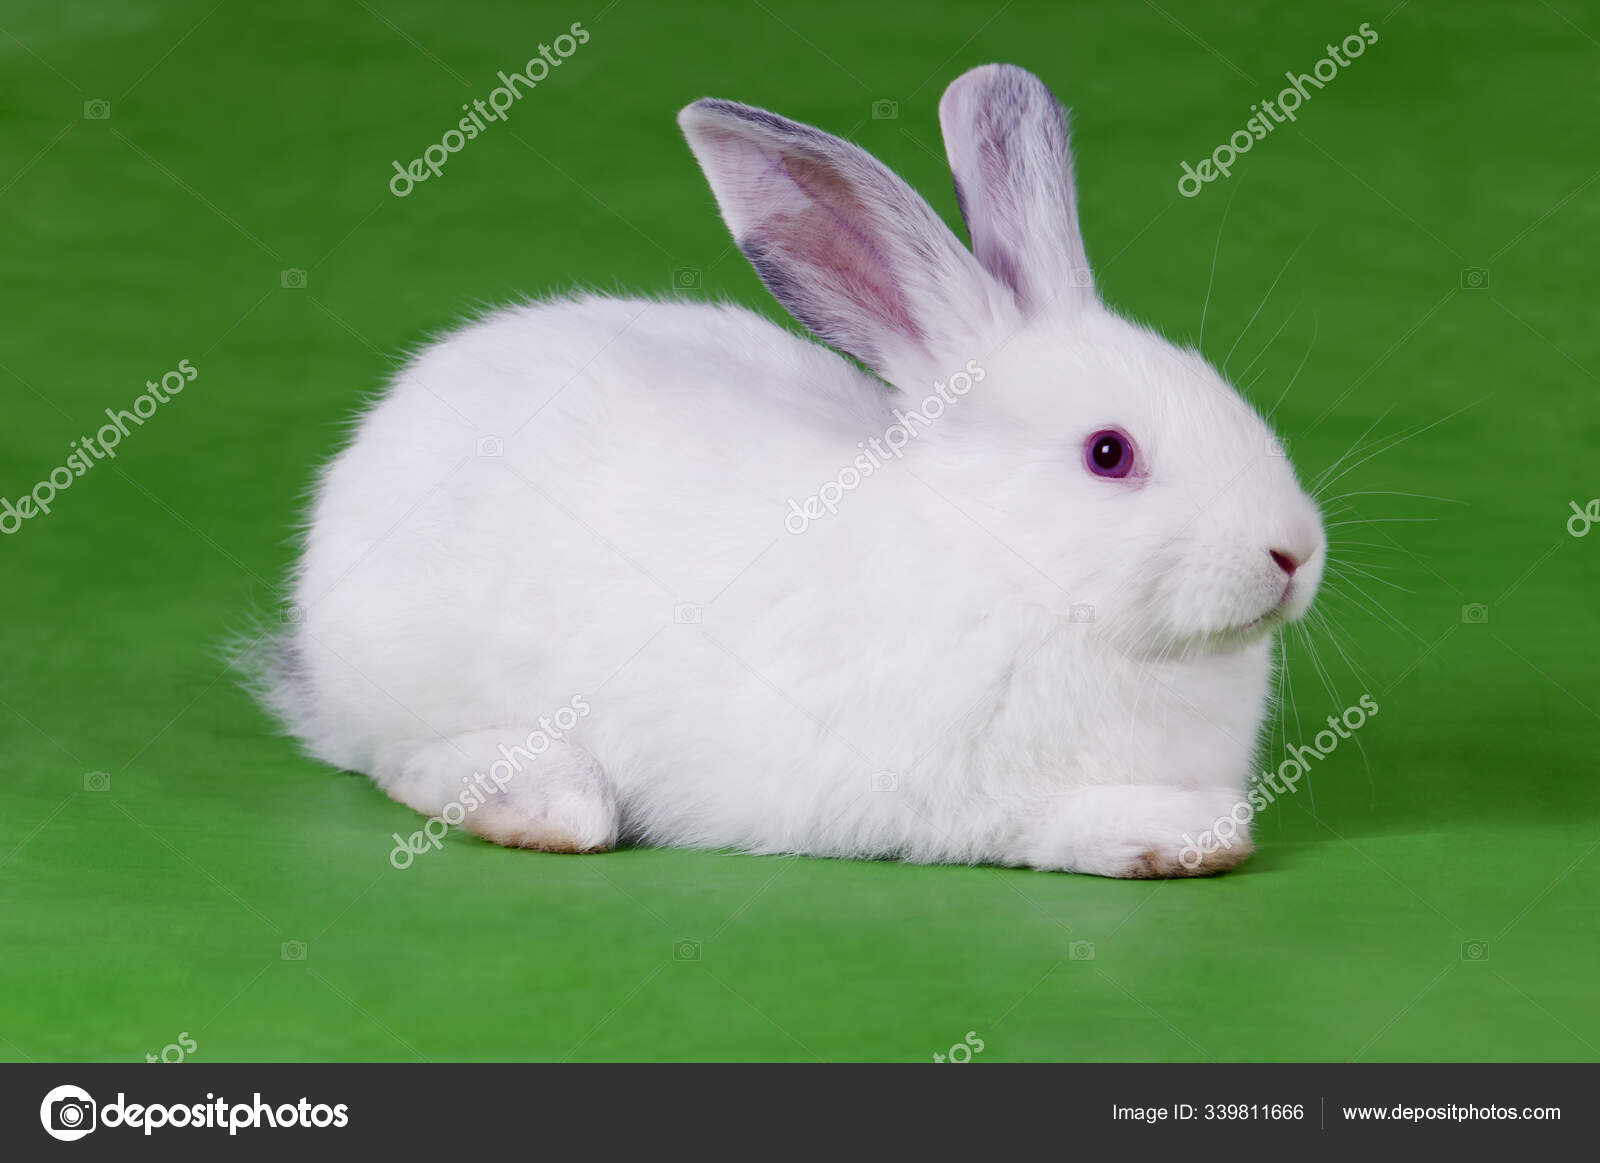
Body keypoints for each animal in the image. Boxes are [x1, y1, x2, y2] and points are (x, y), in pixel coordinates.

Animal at [256, 63, 1324, 878]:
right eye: (1110, 454)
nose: (1295, 552)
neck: (1008, 563)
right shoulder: (955, 791)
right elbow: (1054, 822)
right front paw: (1181, 838)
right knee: (406, 762)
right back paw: (542, 802)